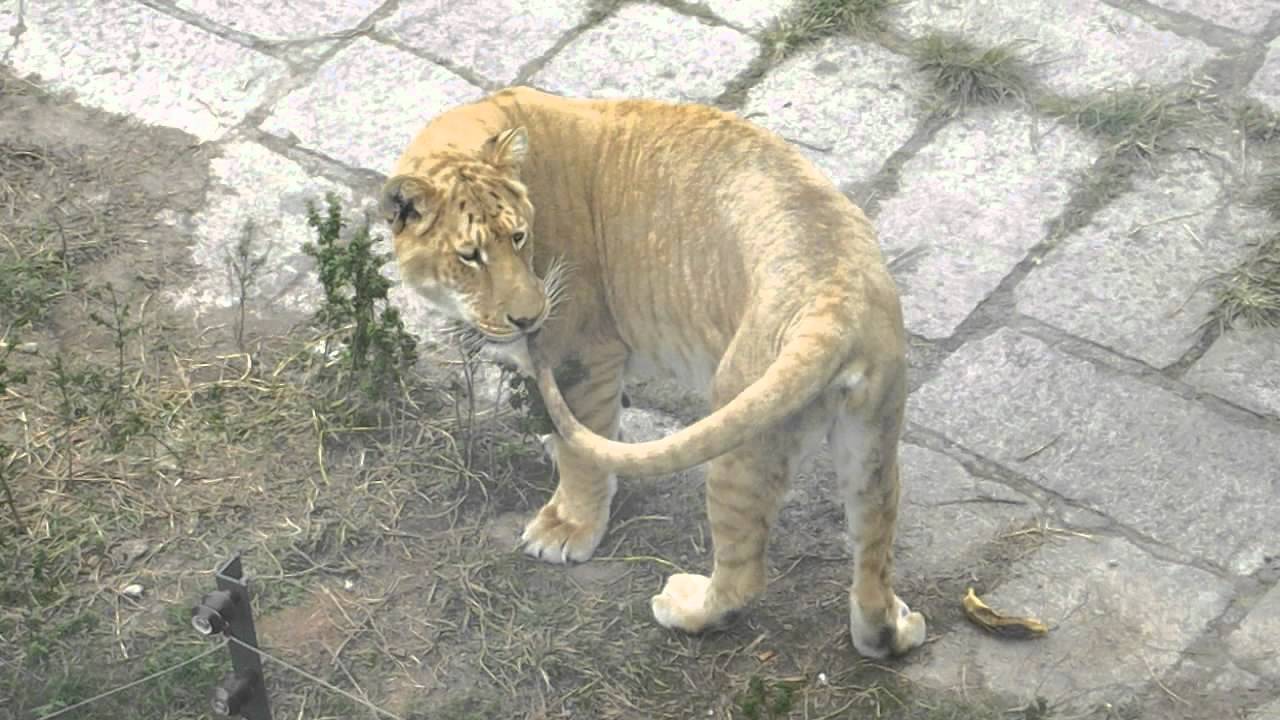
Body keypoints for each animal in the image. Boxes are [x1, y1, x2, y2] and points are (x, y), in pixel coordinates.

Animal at [380, 86, 926, 658]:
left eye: (519, 237)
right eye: (470, 255)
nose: (528, 318)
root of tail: (834, 306)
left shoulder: (583, 351)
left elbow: (583, 450)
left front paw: (568, 526)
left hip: (739, 432)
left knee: (742, 576)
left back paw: (684, 607)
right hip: (871, 438)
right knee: (873, 555)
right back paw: (890, 631)